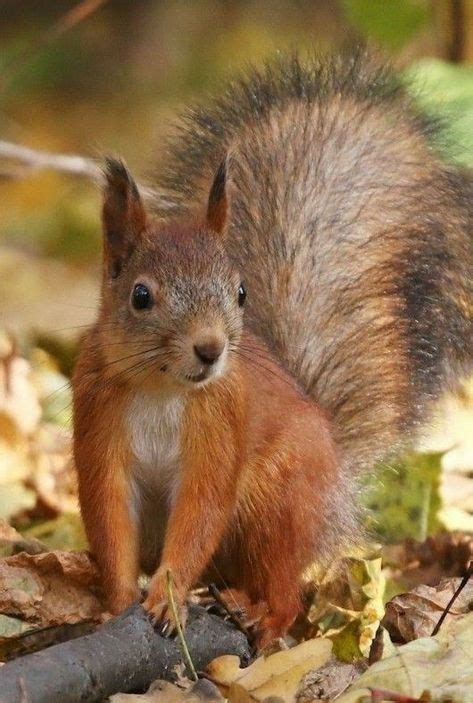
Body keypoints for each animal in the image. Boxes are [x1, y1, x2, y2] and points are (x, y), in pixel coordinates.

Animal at [73, 50, 472, 647]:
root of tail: (336, 485)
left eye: (240, 292)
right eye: (141, 296)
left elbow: (201, 512)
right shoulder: (98, 419)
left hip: (277, 504)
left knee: (286, 587)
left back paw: (260, 615)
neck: (161, 387)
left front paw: (167, 596)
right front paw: (116, 605)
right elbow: (110, 519)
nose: (211, 349)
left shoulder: (221, 426)